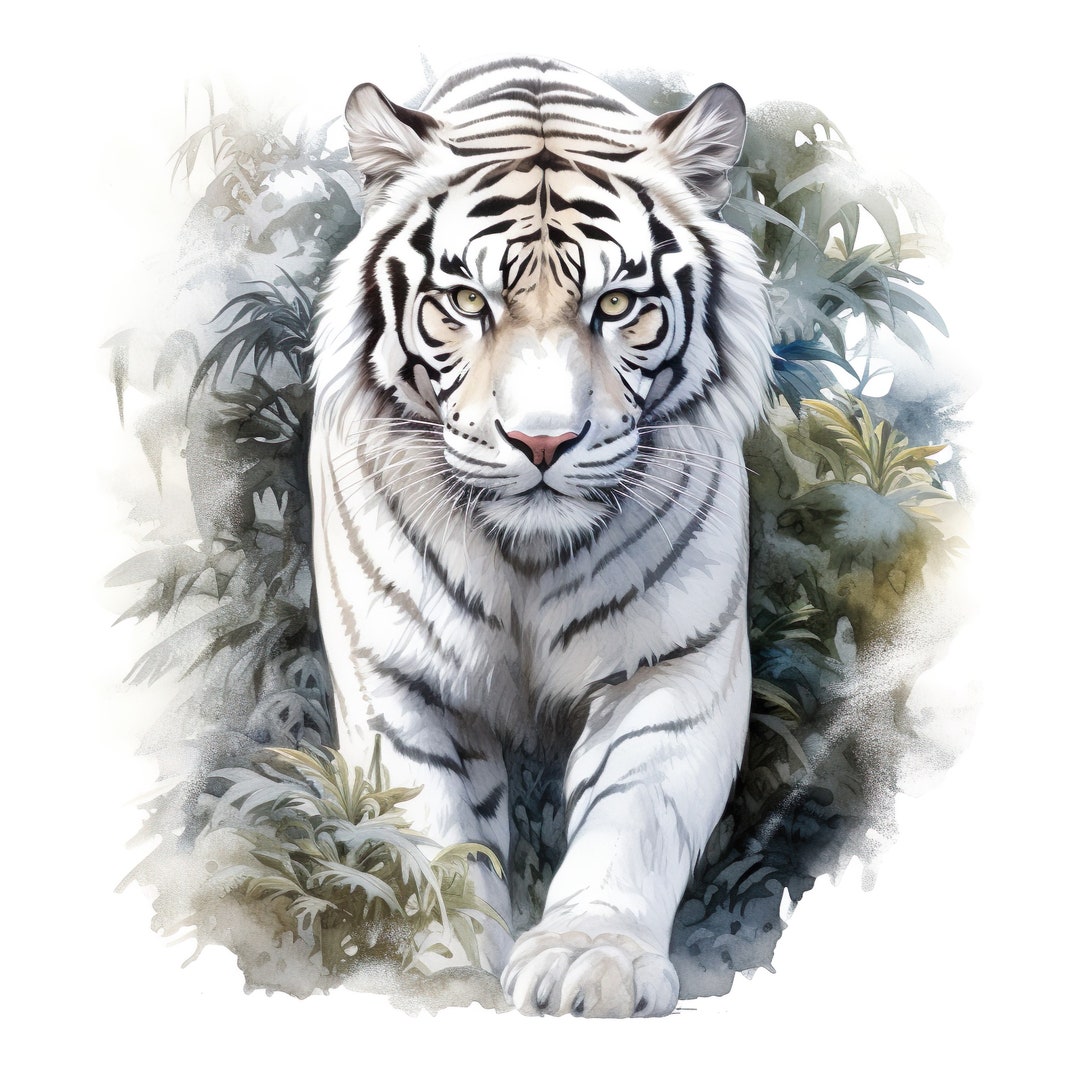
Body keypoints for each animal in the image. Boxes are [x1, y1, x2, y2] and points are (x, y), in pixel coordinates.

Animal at [309, 56, 774, 1017]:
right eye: (464, 301)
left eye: (619, 303)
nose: (543, 441)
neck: (524, 551)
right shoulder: (396, 678)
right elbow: (435, 834)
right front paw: (442, 966)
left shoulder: (676, 663)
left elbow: (633, 812)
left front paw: (590, 960)